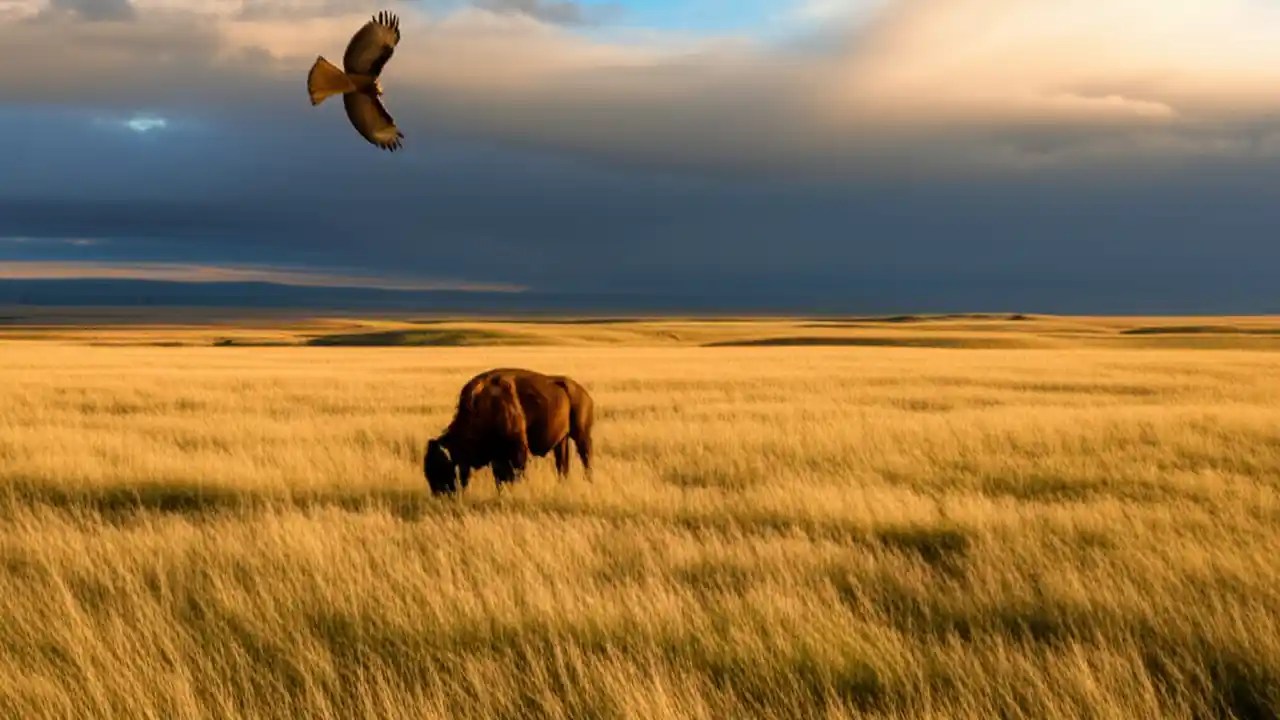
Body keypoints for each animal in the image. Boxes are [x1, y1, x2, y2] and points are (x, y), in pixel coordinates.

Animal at [423, 368, 595, 494]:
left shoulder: (517, 450)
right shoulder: (497, 455)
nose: (438, 493)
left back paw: (588, 481)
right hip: (562, 441)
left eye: (439, 467)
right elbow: (499, 477)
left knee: (585, 458)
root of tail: (584, 393)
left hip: (581, 435)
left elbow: (516, 473)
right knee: (562, 464)